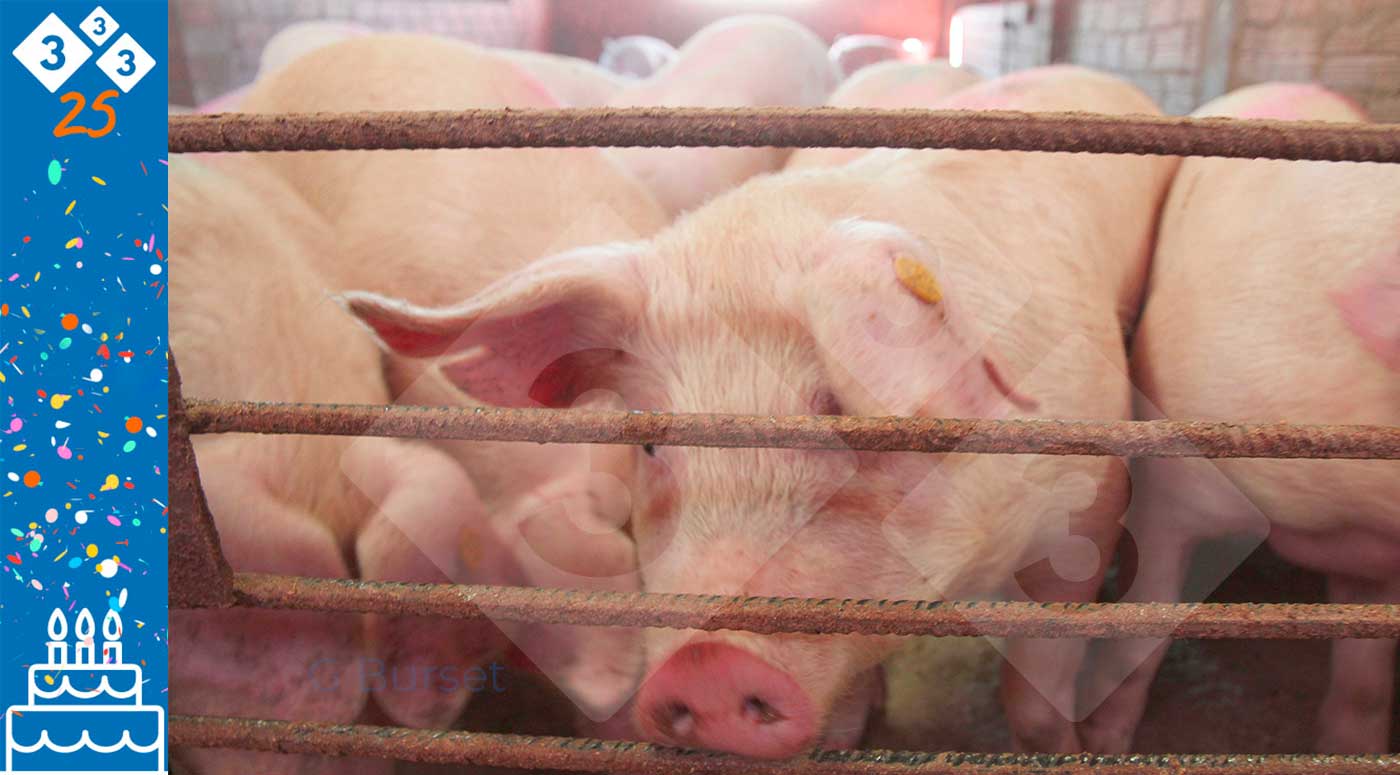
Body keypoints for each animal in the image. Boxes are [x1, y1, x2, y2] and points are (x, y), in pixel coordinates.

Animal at [1077, 83, 1400, 755]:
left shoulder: (1376, 556)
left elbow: (1366, 675)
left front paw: (1347, 751)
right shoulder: (1180, 471)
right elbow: (1144, 626)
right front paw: (1100, 741)